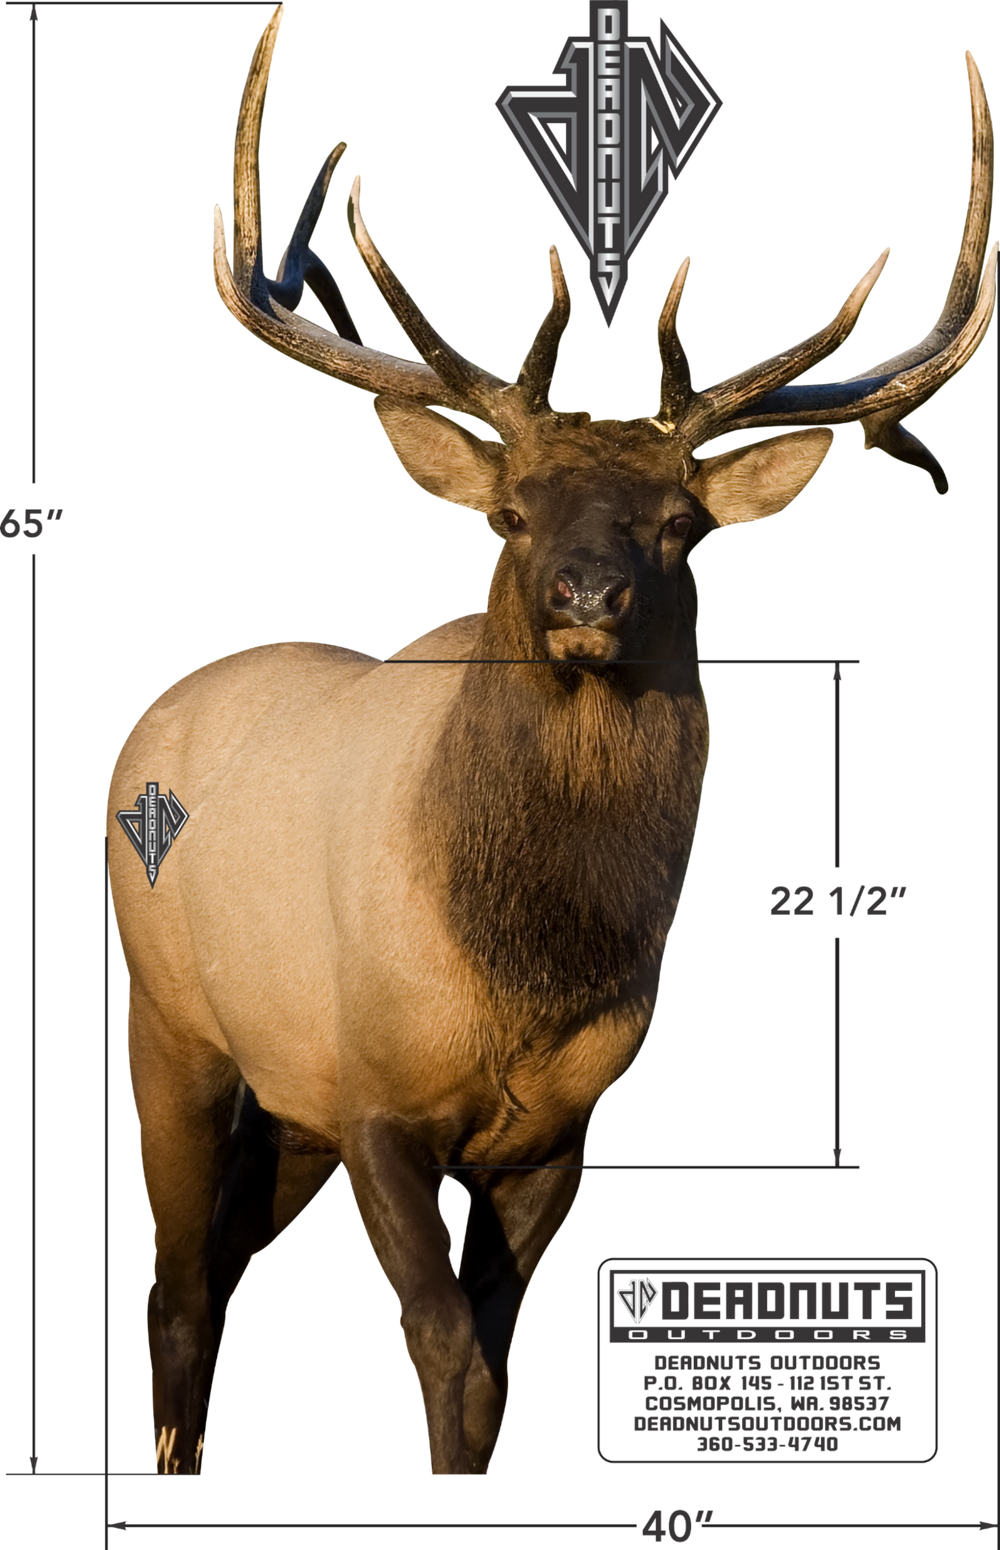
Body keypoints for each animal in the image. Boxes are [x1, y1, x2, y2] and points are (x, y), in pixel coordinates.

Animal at [105, 5, 996, 1477]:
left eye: (681, 526)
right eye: (511, 513)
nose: (587, 593)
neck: (523, 968)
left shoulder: (560, 1131)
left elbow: (492, 1373)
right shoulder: (375, 1093)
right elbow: (439, 1344)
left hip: (283, 1097)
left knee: (223, 1265)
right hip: (172, 1021)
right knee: (176, 1285)